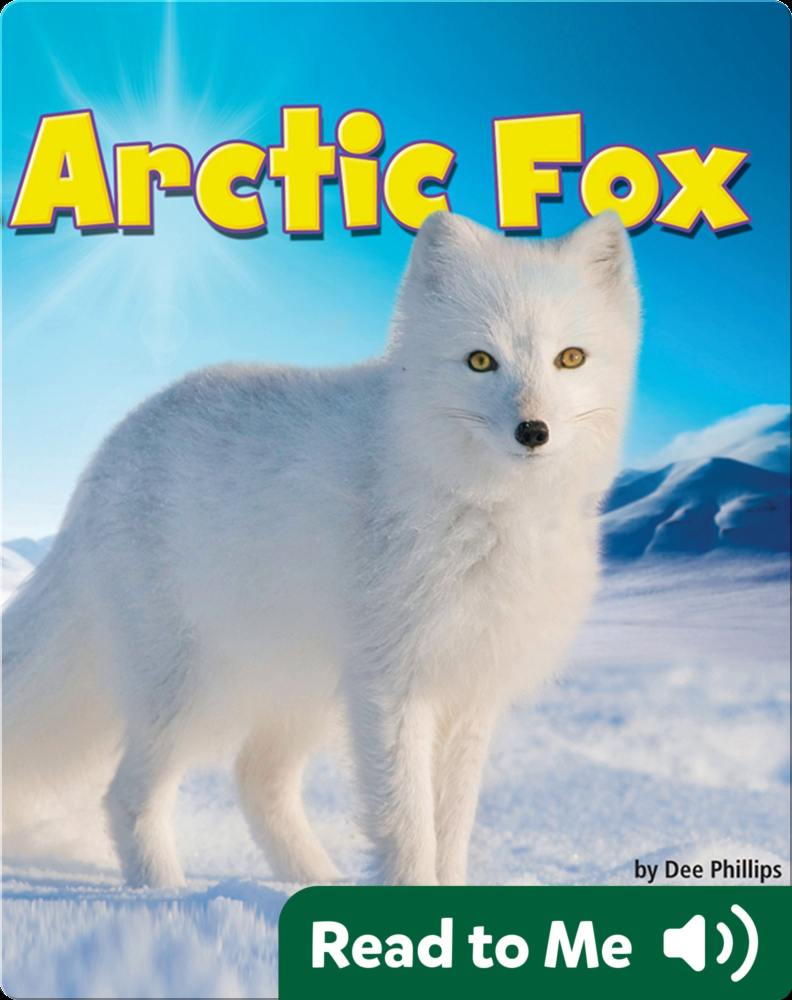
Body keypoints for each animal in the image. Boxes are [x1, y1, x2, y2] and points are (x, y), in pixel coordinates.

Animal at [2, 210, 640, 888]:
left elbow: (451, 828)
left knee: (256, 781)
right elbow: (409, 829)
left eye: (570, 358)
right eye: (479, 360)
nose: (532, 431)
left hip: (301, 690)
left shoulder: (468, 689)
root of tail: (99, 465)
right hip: (194, 691)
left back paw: (310, 881)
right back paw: (165, 897)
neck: (487, 514)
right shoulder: (392, 687)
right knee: (127, 796)